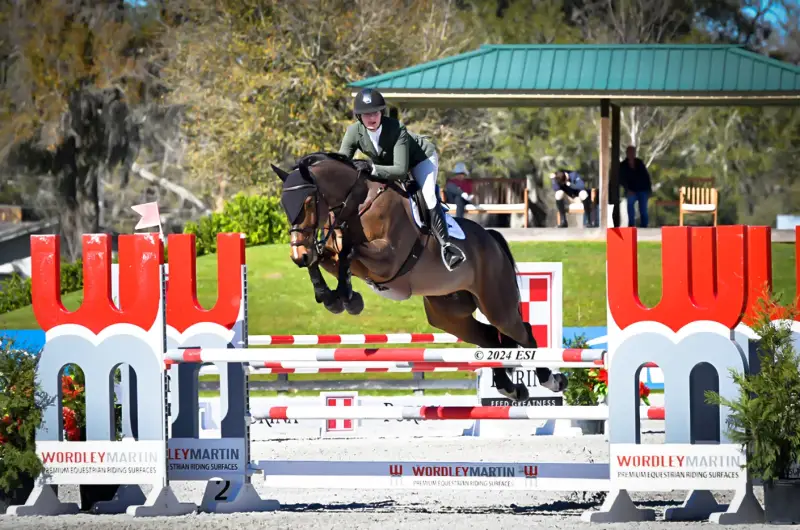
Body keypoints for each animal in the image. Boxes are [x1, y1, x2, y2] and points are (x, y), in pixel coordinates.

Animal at [270, 152, 568, 401]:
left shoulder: (387, 259)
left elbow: (347, 251)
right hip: (447, 313)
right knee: (488, 338)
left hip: (497, 305)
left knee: (522, 332)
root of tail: (491, 239)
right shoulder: (335, 252)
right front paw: (332, 297)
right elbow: (324, 256)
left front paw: (347, 298)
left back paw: (552, 380)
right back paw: (511, 388)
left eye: (309, 203)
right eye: (284, 205)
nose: (298, 254)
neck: (357, 204)